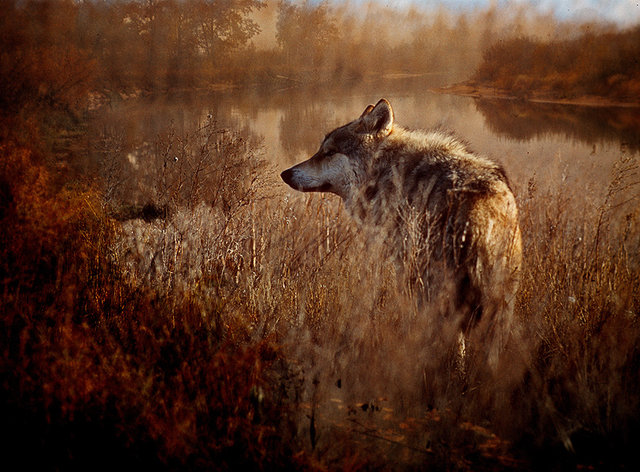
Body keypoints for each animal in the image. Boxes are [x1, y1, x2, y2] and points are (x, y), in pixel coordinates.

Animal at [282, 99, 524, 366]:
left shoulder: (406, 272)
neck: (388, 172)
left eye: (329, 152)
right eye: (321, 150)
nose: (285, 173)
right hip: (500, 300)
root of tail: (479, 207)